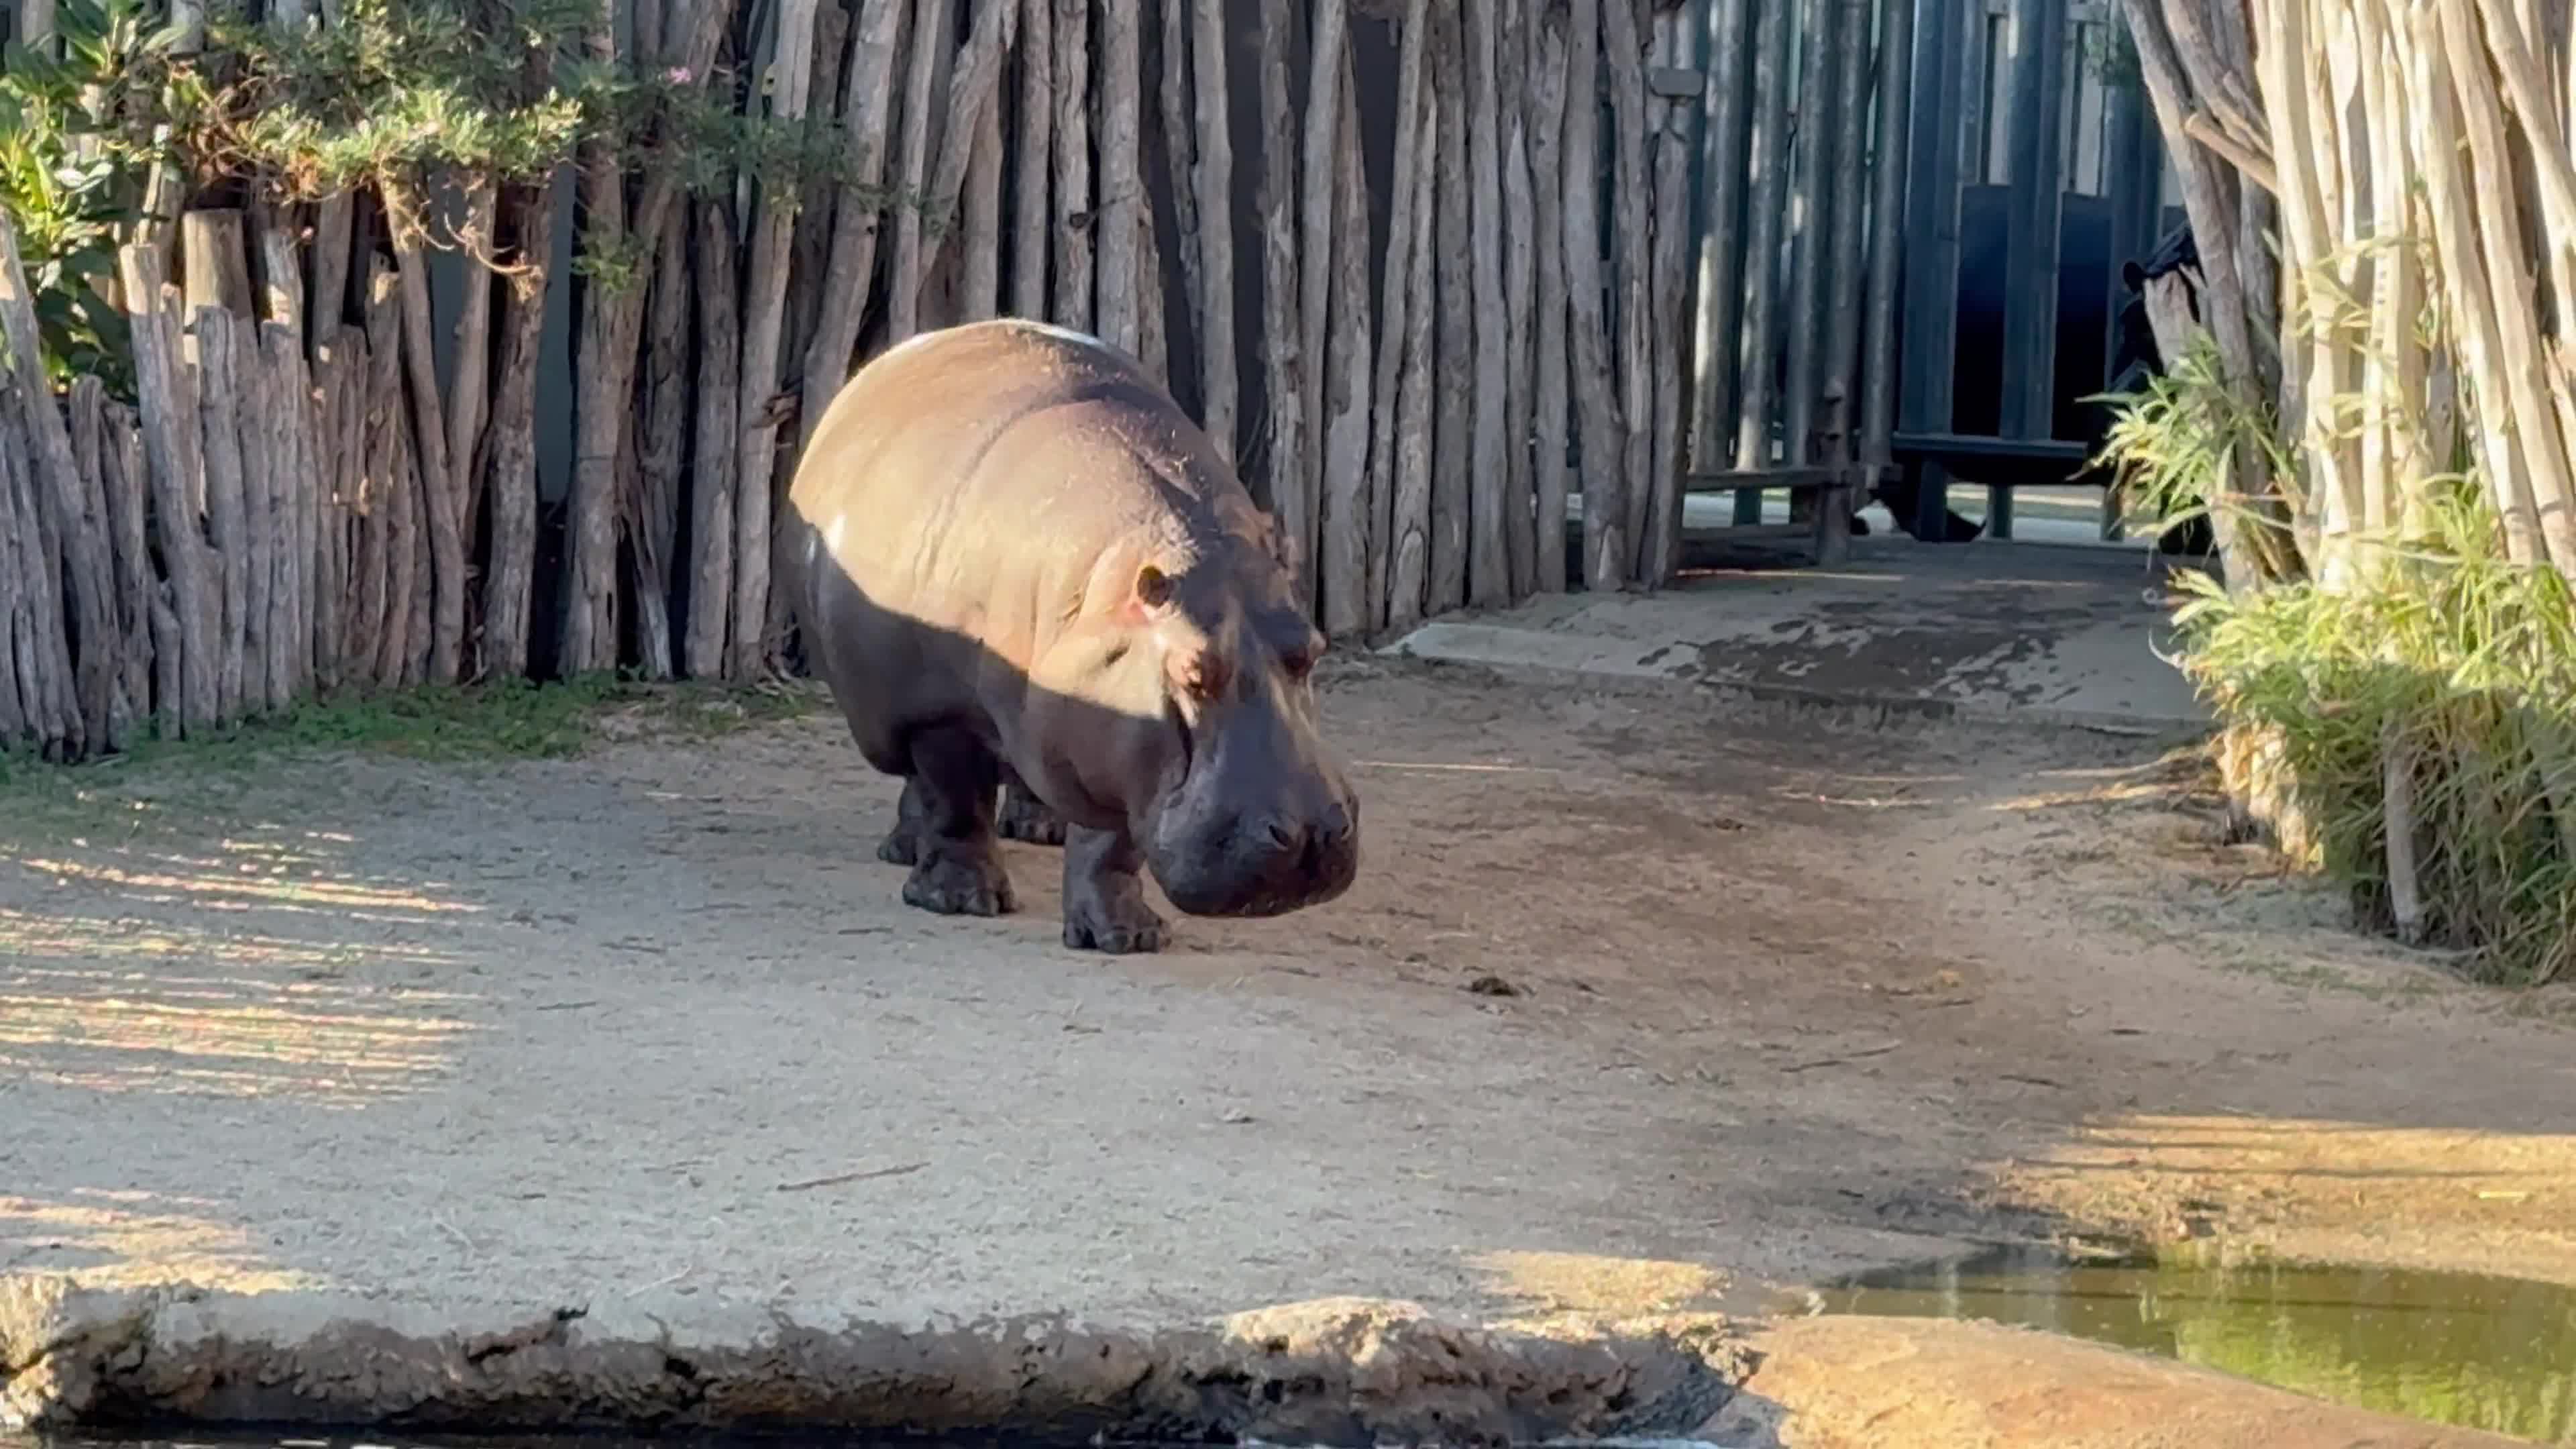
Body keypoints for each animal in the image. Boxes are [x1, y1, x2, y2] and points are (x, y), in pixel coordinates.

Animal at [781, 317, 1361, 953]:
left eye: (1310, 649)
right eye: (1191, 673)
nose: (1308, 837)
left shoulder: (1114, 733)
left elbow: (1111, 846)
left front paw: (1127, 938)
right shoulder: (940, 712)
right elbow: (954, 799)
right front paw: (958, 902)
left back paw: (1041, 829)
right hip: (895, 699)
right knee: (923, 784)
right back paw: (907, 852)